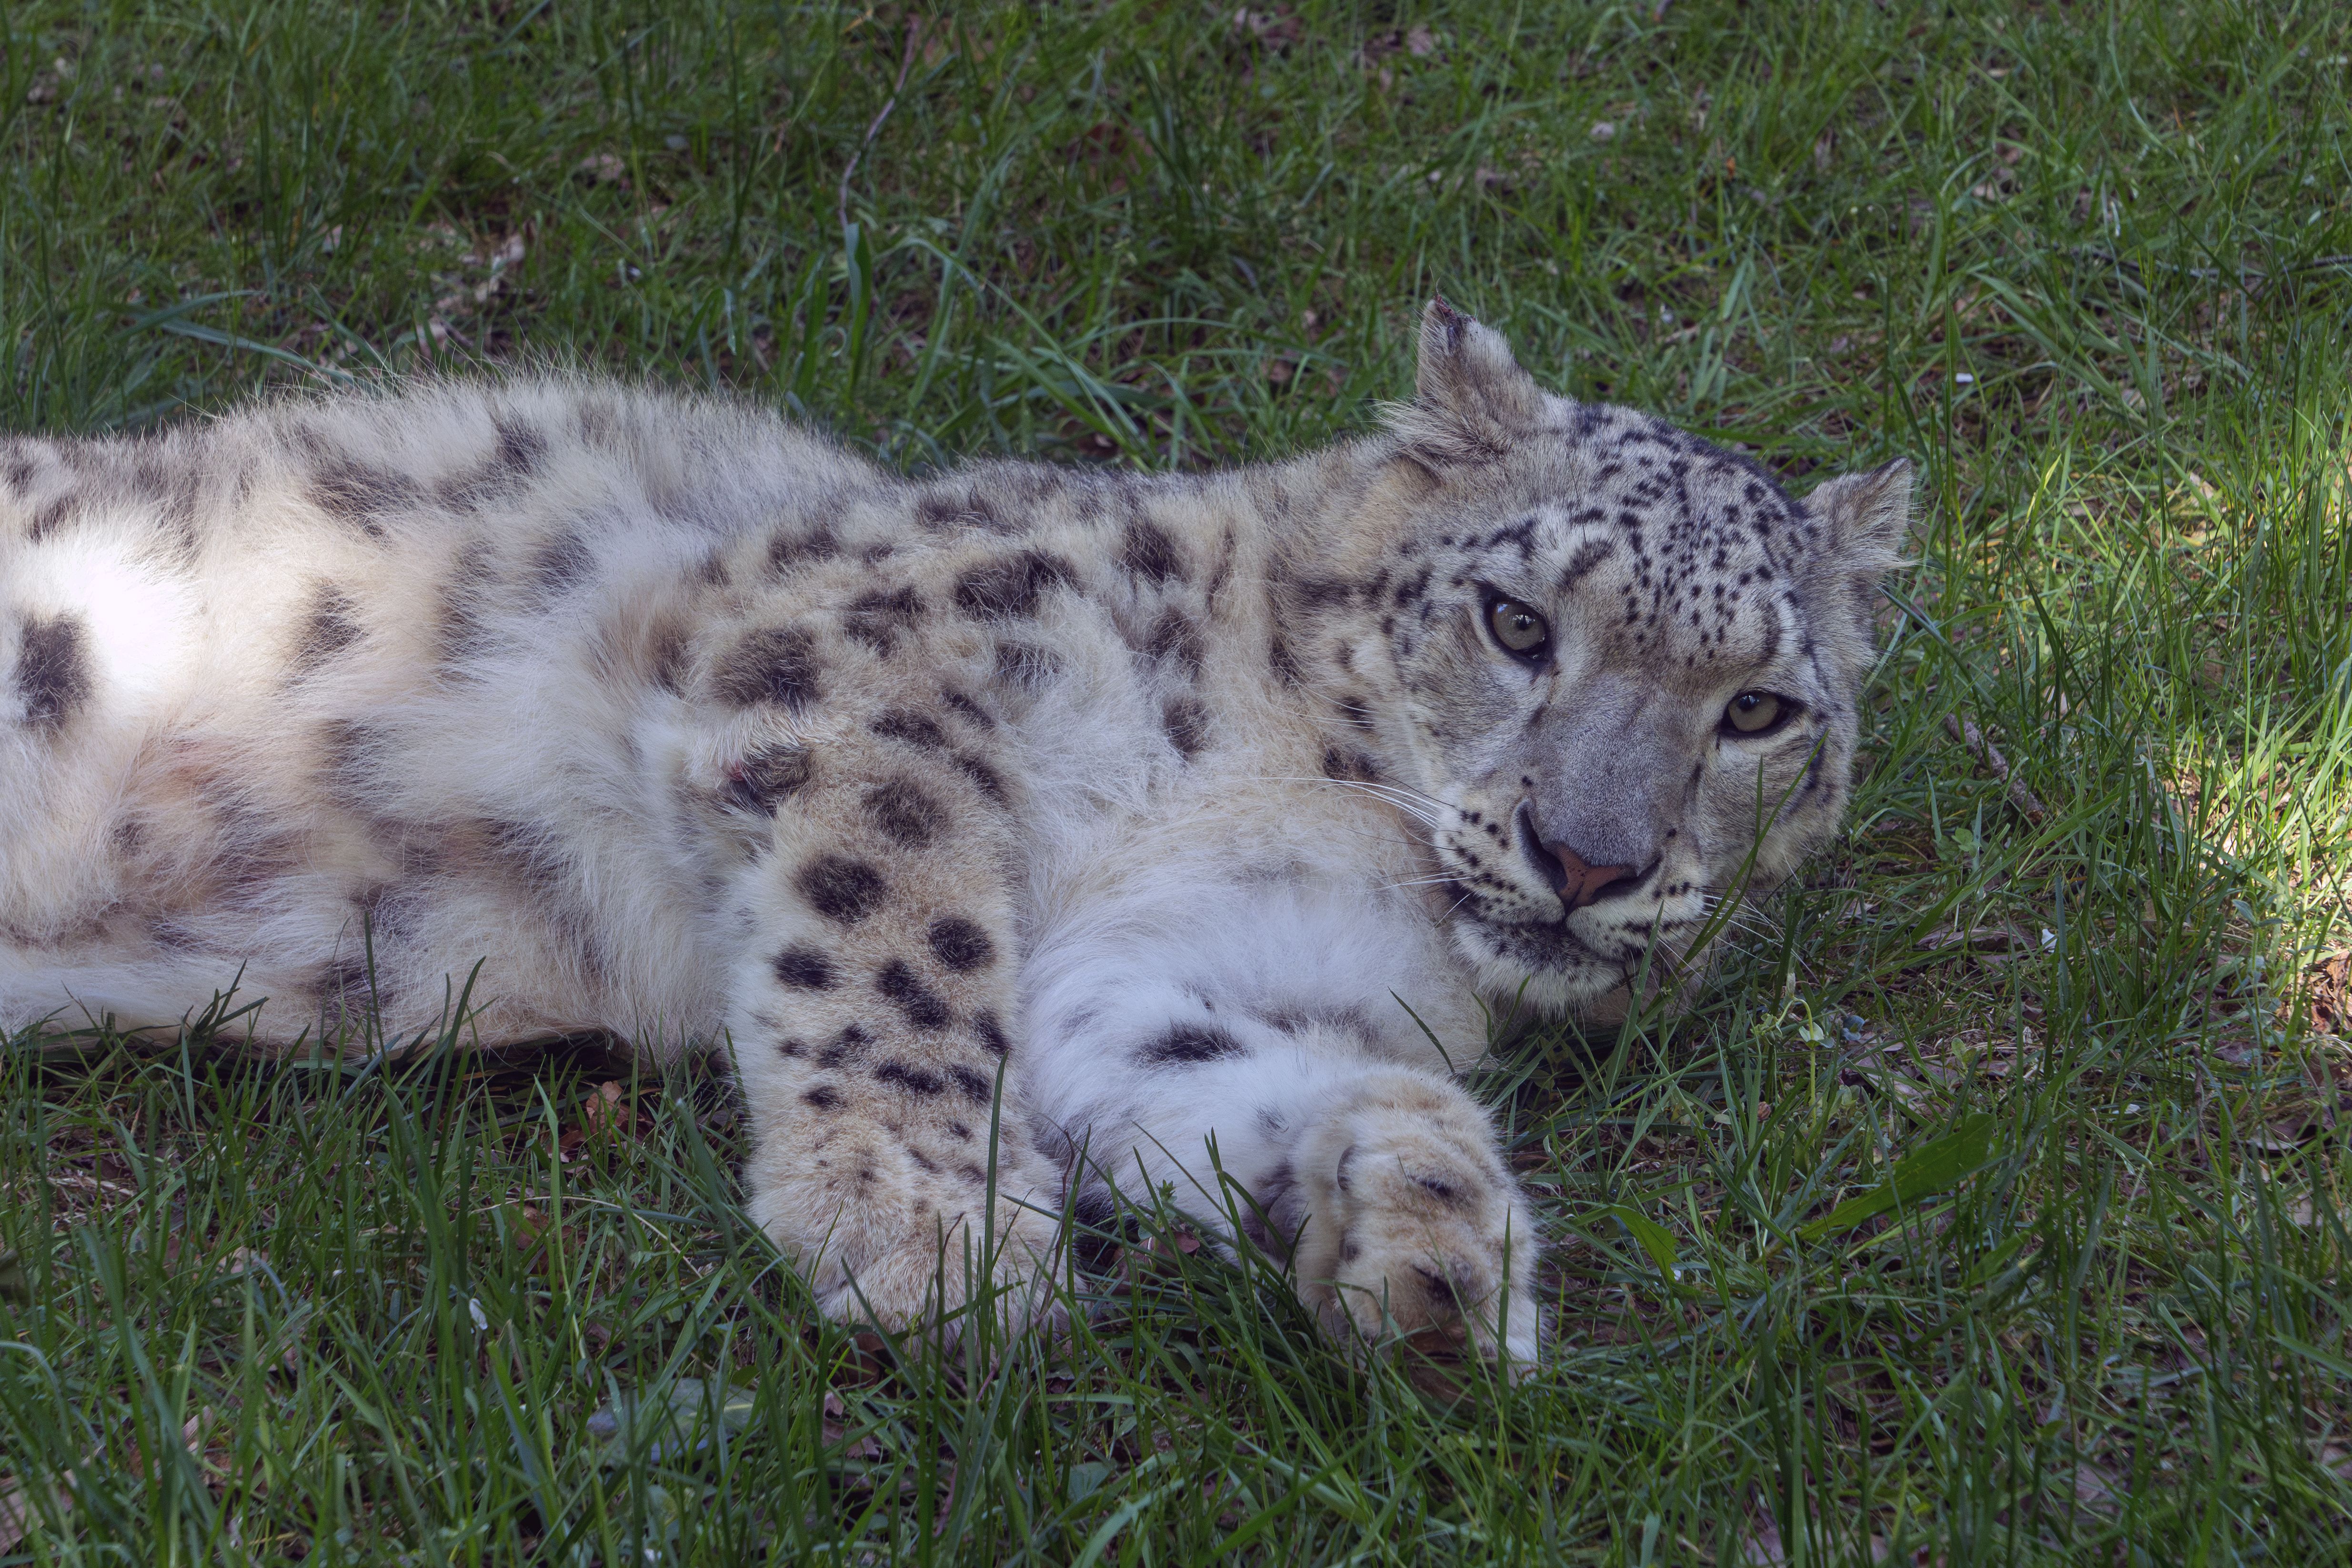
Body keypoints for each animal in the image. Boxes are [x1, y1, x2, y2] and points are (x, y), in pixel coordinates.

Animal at [0, 301, 1909, 1365]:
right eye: (1517, 621)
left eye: (1756, 711)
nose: (1587, 857)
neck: (1309, 797)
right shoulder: (850, 653)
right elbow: (901, 932)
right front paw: (919, 1228)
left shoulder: (1181, 967)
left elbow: (1224, 1068)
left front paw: (1430, 1236)